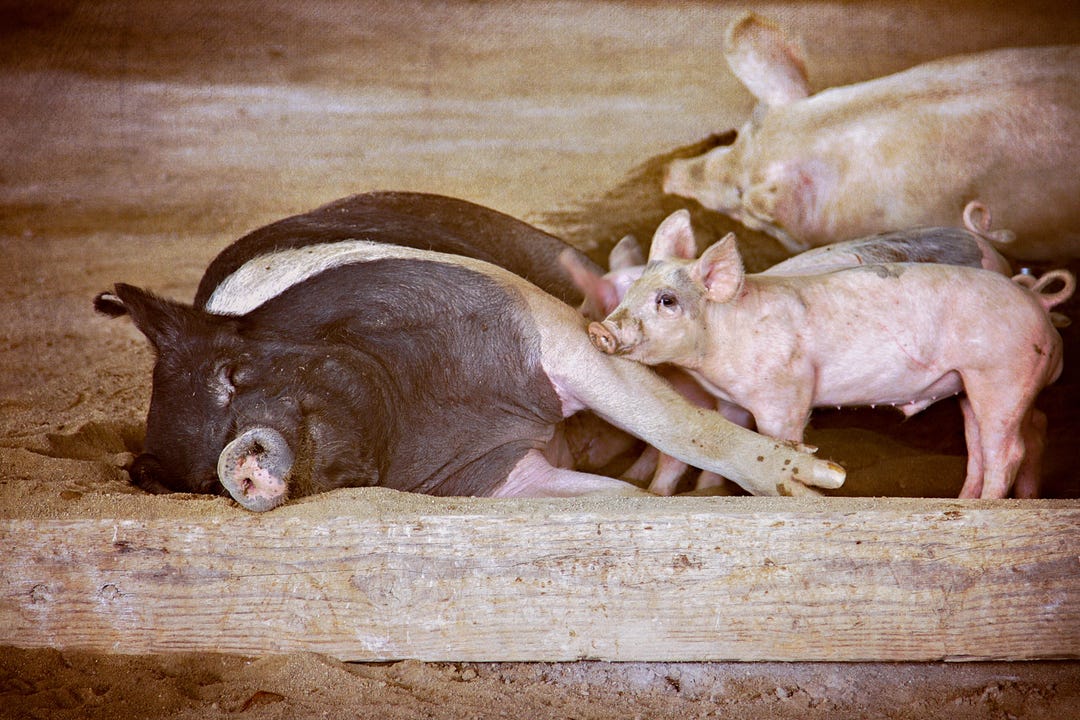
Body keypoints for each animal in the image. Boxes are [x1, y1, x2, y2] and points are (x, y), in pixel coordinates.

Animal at [95, 193, 845, 511]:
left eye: (234, 373)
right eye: (201, 480)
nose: (236, 463)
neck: (410, 406)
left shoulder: (543, 328)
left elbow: (678, 423)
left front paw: (820, 484)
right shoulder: (494, 480)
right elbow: (612, 497)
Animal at [588, 210, 1075, 499]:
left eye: (667, 301)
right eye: (631, 292)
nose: (598, 329)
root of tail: (1037, 305)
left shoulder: (784, 393)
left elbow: (779, 438)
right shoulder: (730, 400)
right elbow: (719, 436)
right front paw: (707, 493)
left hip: (1003, 372)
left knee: (1007, 448)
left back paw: (990, 506)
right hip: (970, 384)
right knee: (981, 443)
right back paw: (968, 501)